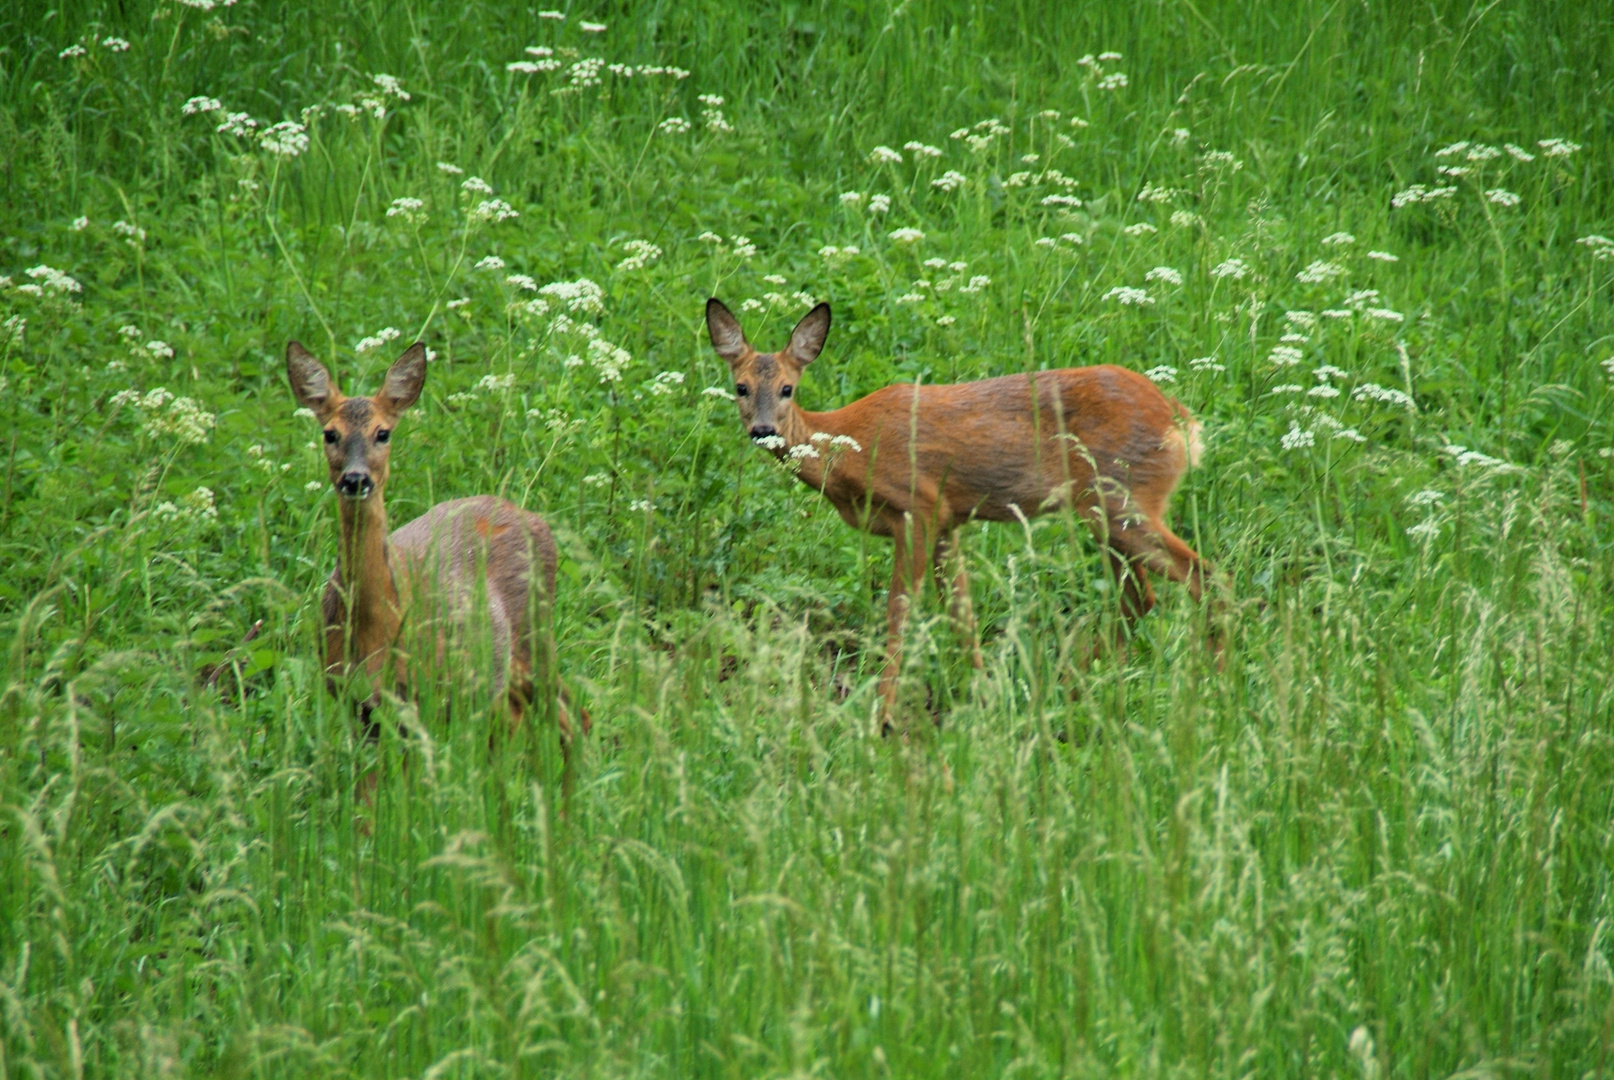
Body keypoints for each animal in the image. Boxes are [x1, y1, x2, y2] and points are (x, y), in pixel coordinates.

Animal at [285, 345, 587, 758]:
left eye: (383, 433)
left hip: (534, 637)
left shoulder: (424, 696)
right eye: (330, 433)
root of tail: (532, 517)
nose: (355, 479)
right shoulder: (354, 700)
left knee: (573, 715)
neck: (376, 630)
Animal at [706, 297, 1213, 716]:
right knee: (1141, 595)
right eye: (741, 387)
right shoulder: (949, 521)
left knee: (1202, 577)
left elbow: (900, 610)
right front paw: (982, 693)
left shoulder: (918, 506)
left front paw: (885, 714)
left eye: (787, 388)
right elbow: (961, 613)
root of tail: (1182, 422)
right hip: (1109, 511)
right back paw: (1067, 684)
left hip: (1120, 499)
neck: (847, 451)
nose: (763, 430)